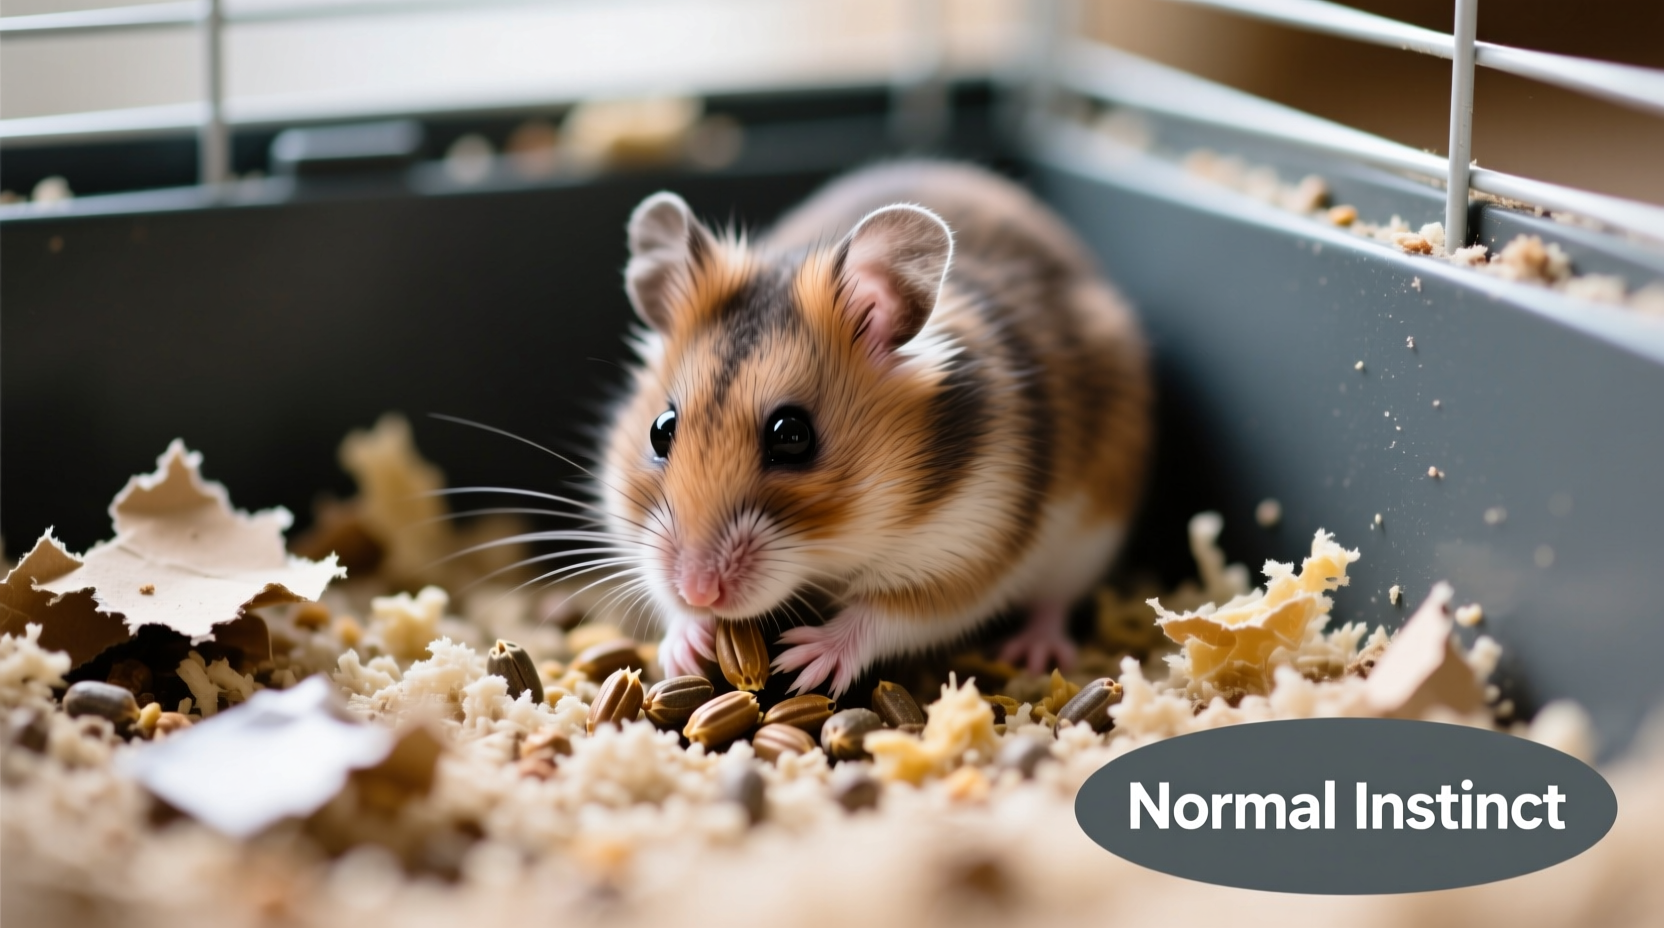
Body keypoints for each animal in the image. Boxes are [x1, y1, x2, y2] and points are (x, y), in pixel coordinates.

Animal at [597, 160, 1150, 696]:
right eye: (660, 429)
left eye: (791, 436)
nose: (698, 591)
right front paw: (685, 648)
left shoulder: (965, 550)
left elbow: (889, 615)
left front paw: (804, 662)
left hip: (1088, 534)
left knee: (1054, 601)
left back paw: (1032, 652)